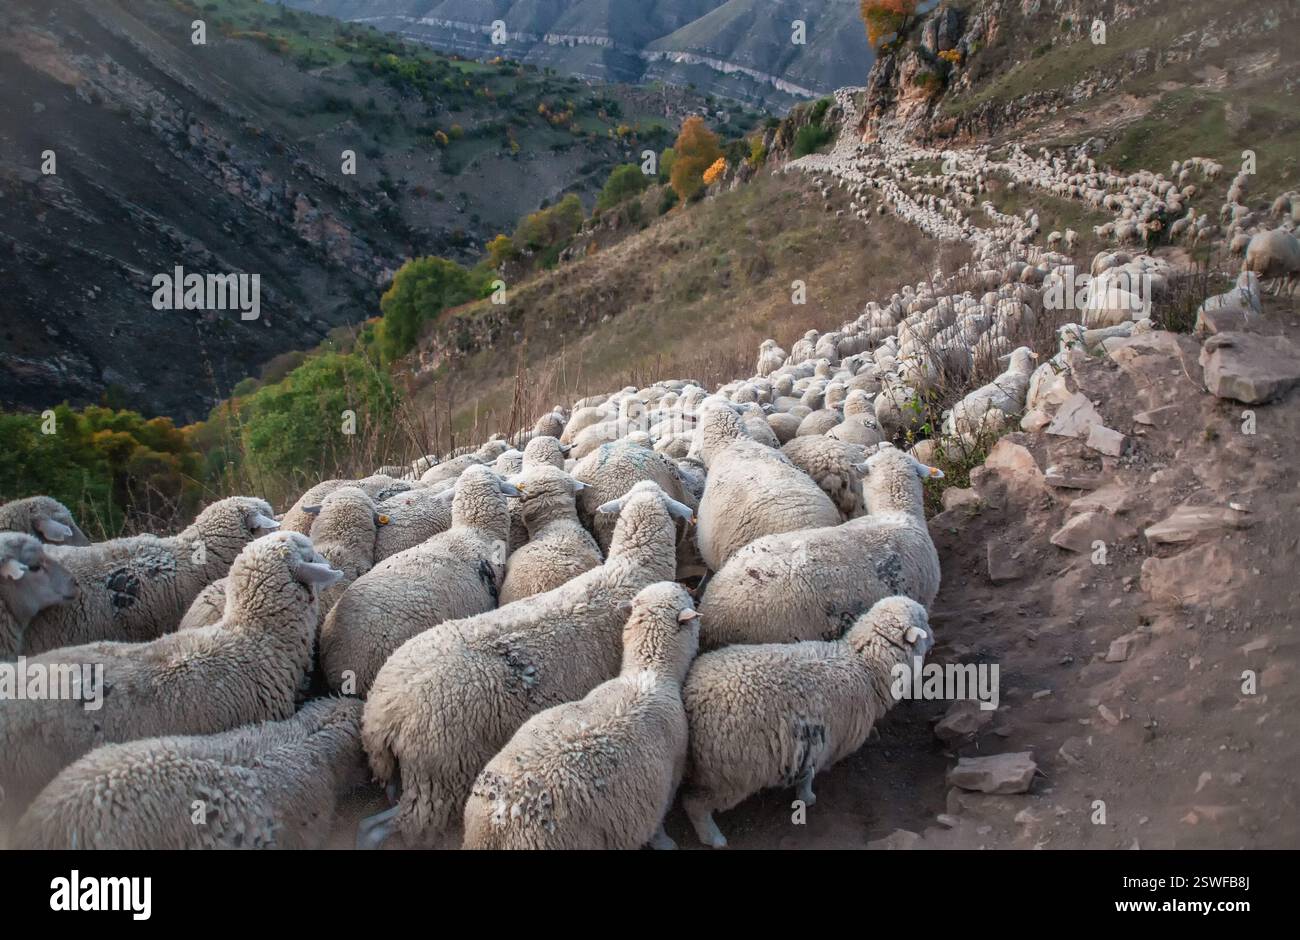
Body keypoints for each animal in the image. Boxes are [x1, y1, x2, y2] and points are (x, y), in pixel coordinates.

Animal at [462, 582, 699, 850]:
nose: (686, 587)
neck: (647, 675)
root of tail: (496, 826)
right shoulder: (670, 777)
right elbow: (658, 823)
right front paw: (665, 842)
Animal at [680, 596, 934, 847]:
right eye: (924, 621)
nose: (933, 638)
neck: (864, 665)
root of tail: (691, 699)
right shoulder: (822, 742)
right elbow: (808, 776)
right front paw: (807, 797)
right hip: (728, 775)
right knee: (694, 804)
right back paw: (713, 837)